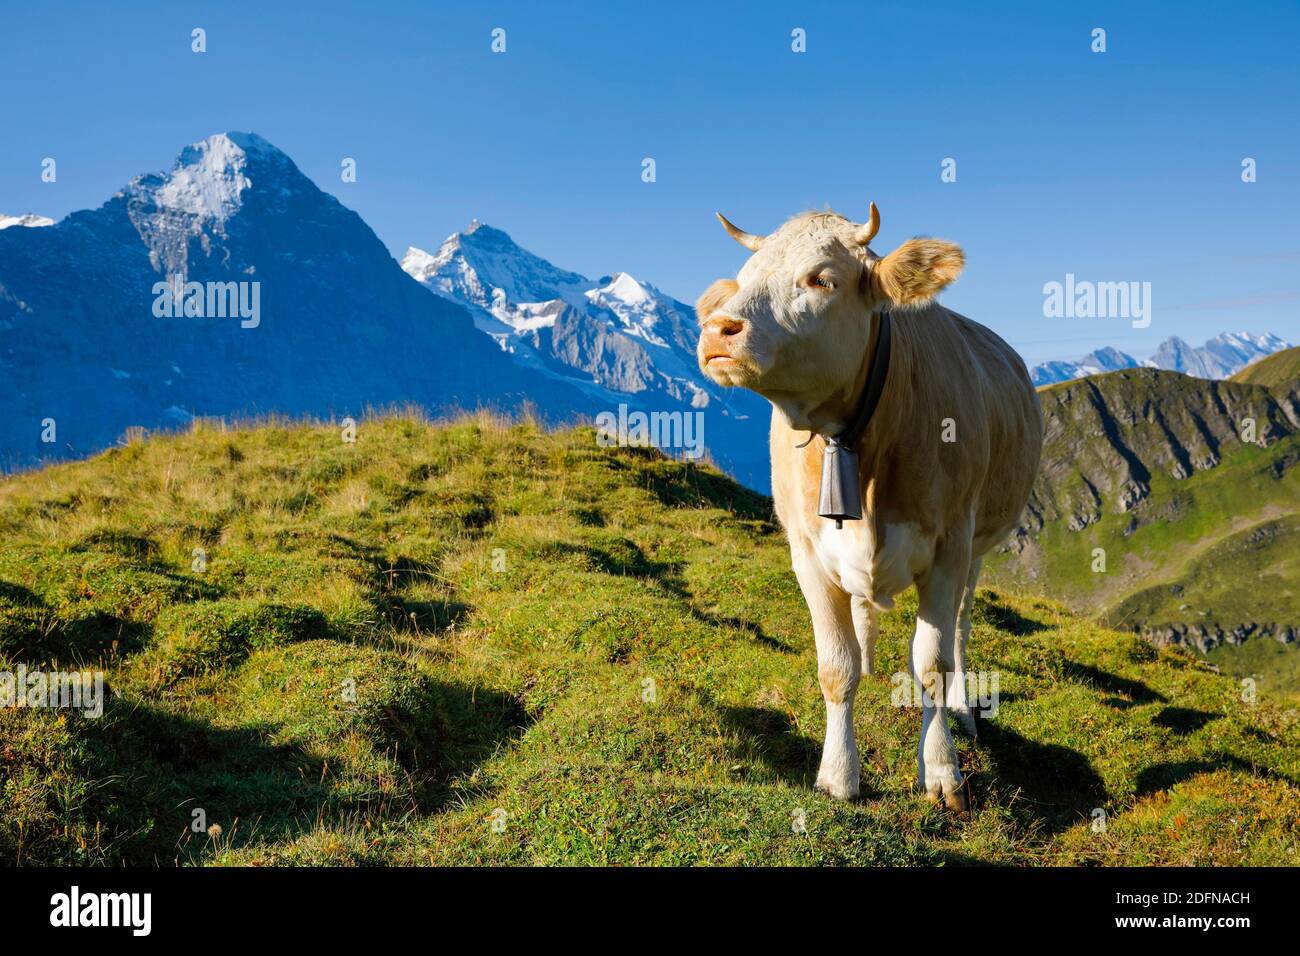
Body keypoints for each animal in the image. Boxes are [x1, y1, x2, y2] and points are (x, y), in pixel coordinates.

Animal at [696, 204, 1043, 809]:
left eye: (821, 280)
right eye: (743, 279)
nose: (719, 330)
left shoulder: (950, 547)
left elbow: (932, 663)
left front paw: (942, 770)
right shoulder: (808, 553)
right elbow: (836, 668)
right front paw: (838, 774)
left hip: (980, 548)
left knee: (961, 625)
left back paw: (960, 708)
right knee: (863, 616)